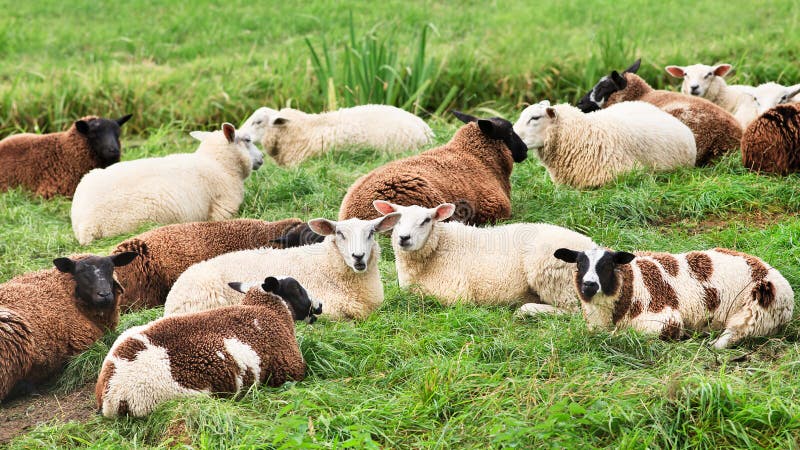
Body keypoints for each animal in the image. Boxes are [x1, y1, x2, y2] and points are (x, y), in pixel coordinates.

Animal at [373, 201, 596, 313]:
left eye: (426, 220)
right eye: (396, 219)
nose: (403, 238)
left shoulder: (455, 294)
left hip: (551, 274)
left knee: (574, 312)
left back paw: (526, 310)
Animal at [551, 247, 794, 349]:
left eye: (608, 264)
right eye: (579, 263)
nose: (589, 285)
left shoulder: (665, 318)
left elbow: (626, 334)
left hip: (756, 310)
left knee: (733, 334)